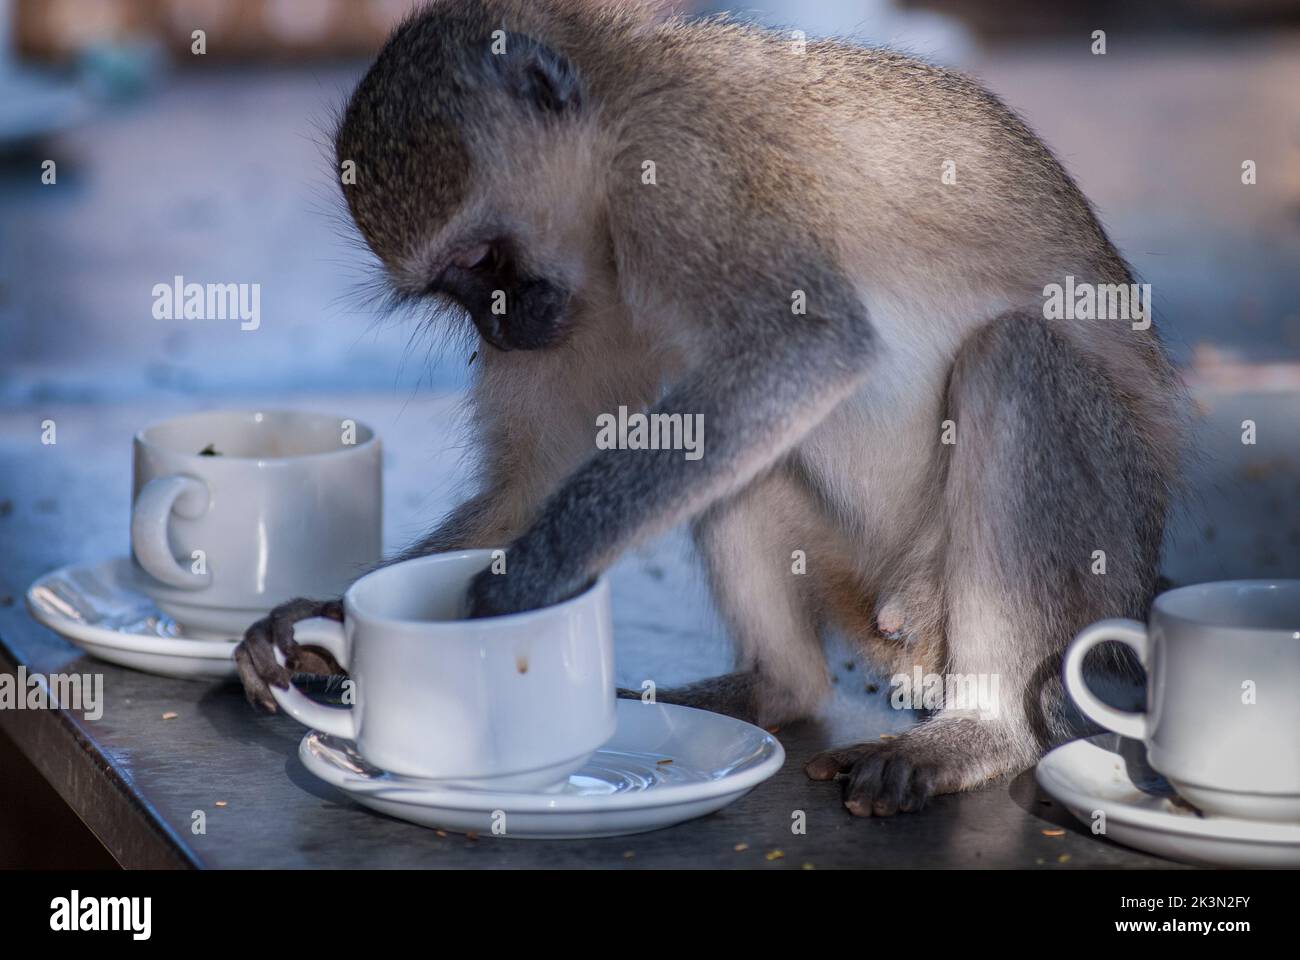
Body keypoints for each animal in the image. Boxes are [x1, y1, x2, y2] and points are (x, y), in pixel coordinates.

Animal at [234, 0, 1188, 817]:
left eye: (480, 260)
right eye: (453, 287)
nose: (499, 328)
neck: (616, 110)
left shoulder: (679, 178)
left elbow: (805, 349)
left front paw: (526, 582)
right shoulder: (582, 307)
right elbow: (536, 482)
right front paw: (314, 624)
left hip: (1086, 561)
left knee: (1014, 363)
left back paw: (978, 733)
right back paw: (774, 688)